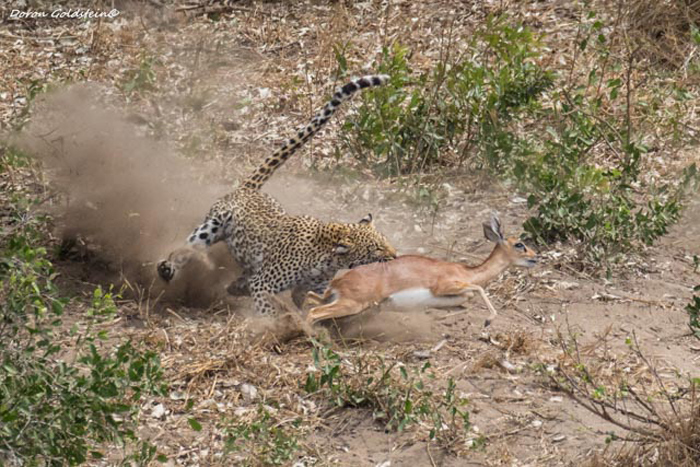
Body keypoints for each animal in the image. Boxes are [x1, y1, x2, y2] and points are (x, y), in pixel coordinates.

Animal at [157, 75, 397, 316]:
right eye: (376, 248)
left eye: (385, 241)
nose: (395, 256)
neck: (330, 258)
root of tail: (248, 189)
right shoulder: (264, 283)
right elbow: (268, 309)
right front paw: (276, 322)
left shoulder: (309, 289)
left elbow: (309, 305)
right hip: (211, 226)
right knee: (188, 248)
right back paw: (167, 268)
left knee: (240, 278)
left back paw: (234, 286)